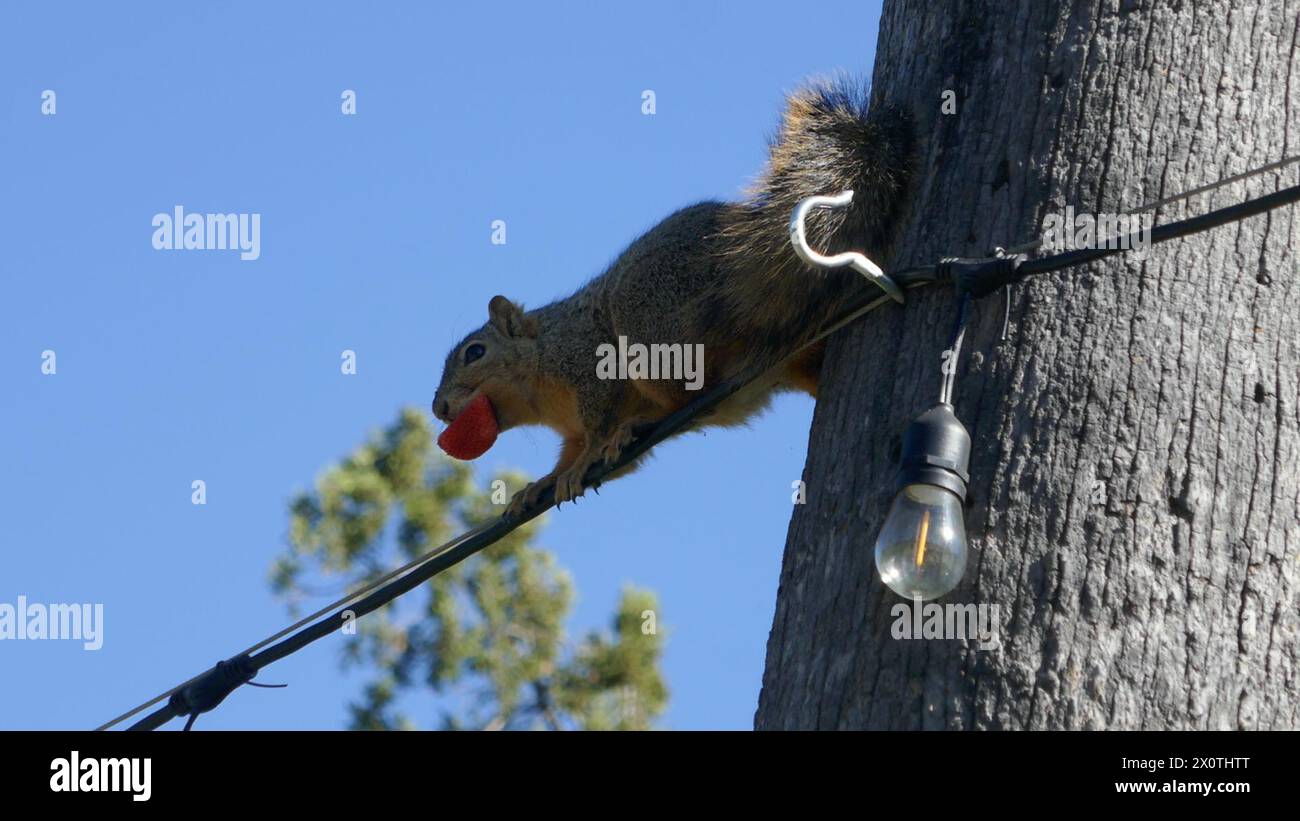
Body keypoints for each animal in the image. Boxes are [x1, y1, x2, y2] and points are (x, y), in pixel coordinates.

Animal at [432, 79, 913, 516]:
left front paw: (584, 461)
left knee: (692, 392)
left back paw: (639, 422)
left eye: (475, 352)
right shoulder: (569, 428)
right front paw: (544, 482)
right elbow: (586, 457)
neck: (540, 381)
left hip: (650, 323)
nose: (438, 408)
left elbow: (597, 428)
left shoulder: (587, 362)